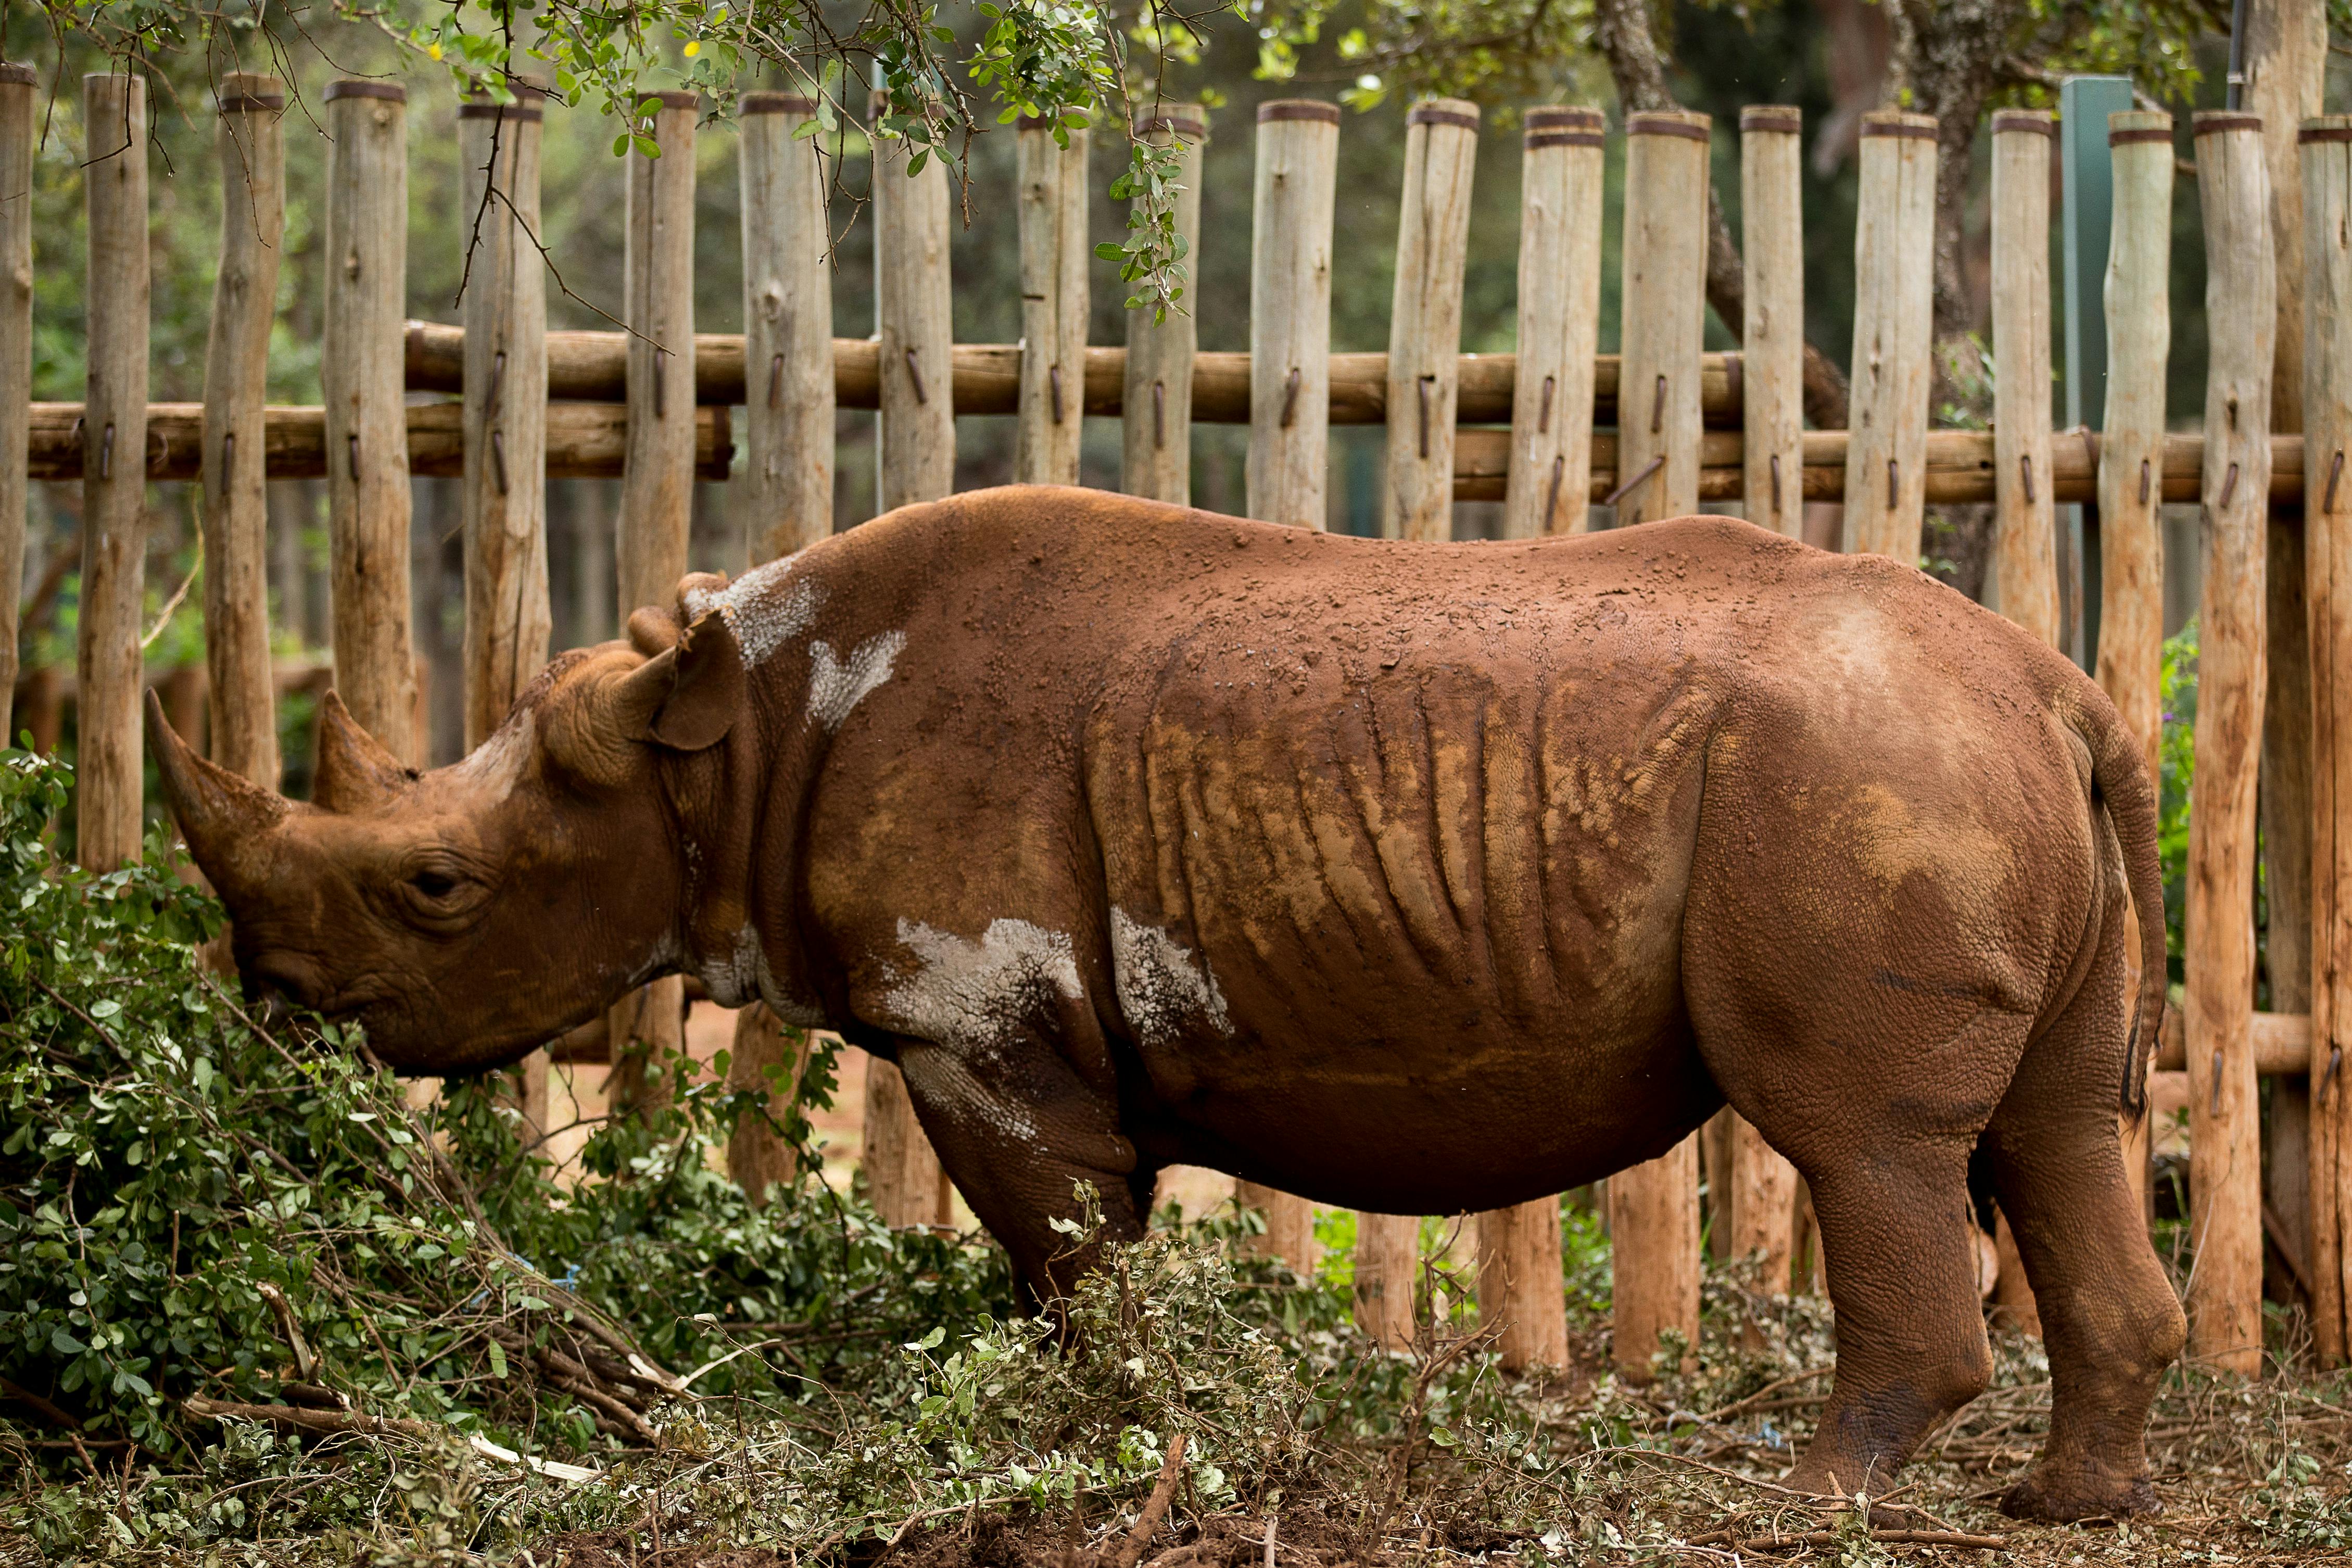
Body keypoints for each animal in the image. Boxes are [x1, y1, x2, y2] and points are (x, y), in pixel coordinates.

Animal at [150, 485, 2183, 1521]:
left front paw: (1104, 1451)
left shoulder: (976, 1028)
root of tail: (2056, 691)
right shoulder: (1019, 1031)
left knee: (1861, 1138)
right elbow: (1086, 1264)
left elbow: (1070, 1270)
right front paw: (1114, 1441)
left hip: (1859, 777)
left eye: (438, 887)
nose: (271, 1005)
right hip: (1955, 771)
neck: (723, 742)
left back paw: (1804, 1501)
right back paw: (2062, 1508)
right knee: (2058, 1124)